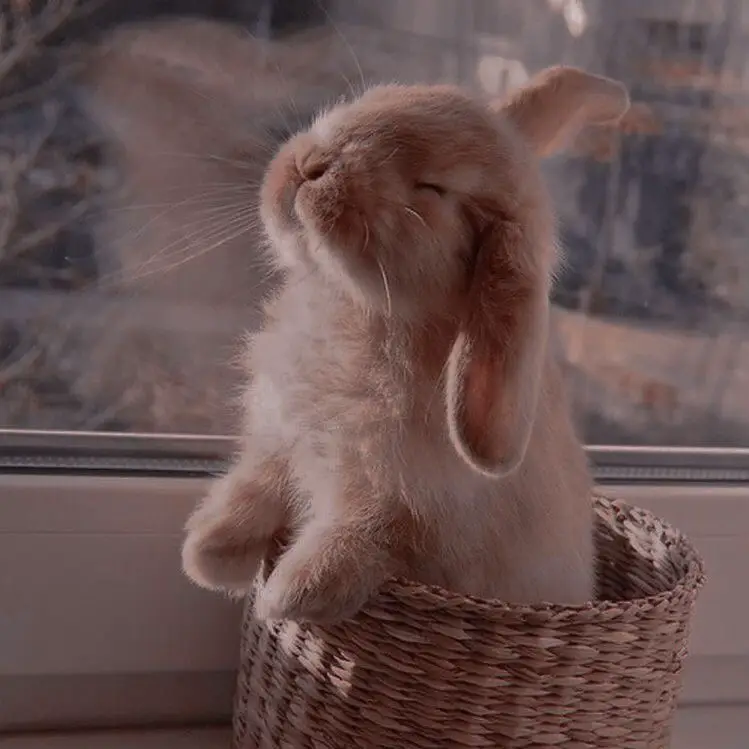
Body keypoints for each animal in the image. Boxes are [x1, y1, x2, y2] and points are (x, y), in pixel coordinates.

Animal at [181, 65, 630, 623]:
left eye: (432, 189)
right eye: (375, 100)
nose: (311, 164)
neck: (362, 311)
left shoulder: (404, 508)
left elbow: (365, 537)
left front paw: (290, 593)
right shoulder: (283, 441)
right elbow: (254, 486)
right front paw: (206, 551)